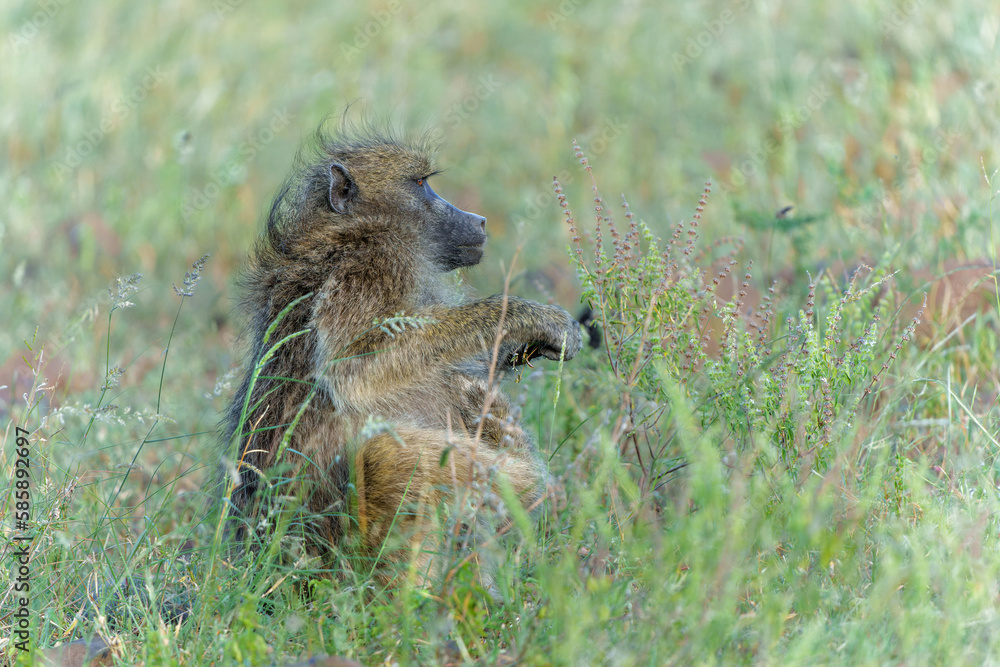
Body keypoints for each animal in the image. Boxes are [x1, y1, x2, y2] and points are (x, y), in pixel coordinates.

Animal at [219, 121, 583, 591]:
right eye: (422, 184)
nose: (479, 221)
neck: (348, 229)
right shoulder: (375, 263)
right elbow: (354, 368)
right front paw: (529, 318)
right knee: (384, 452)